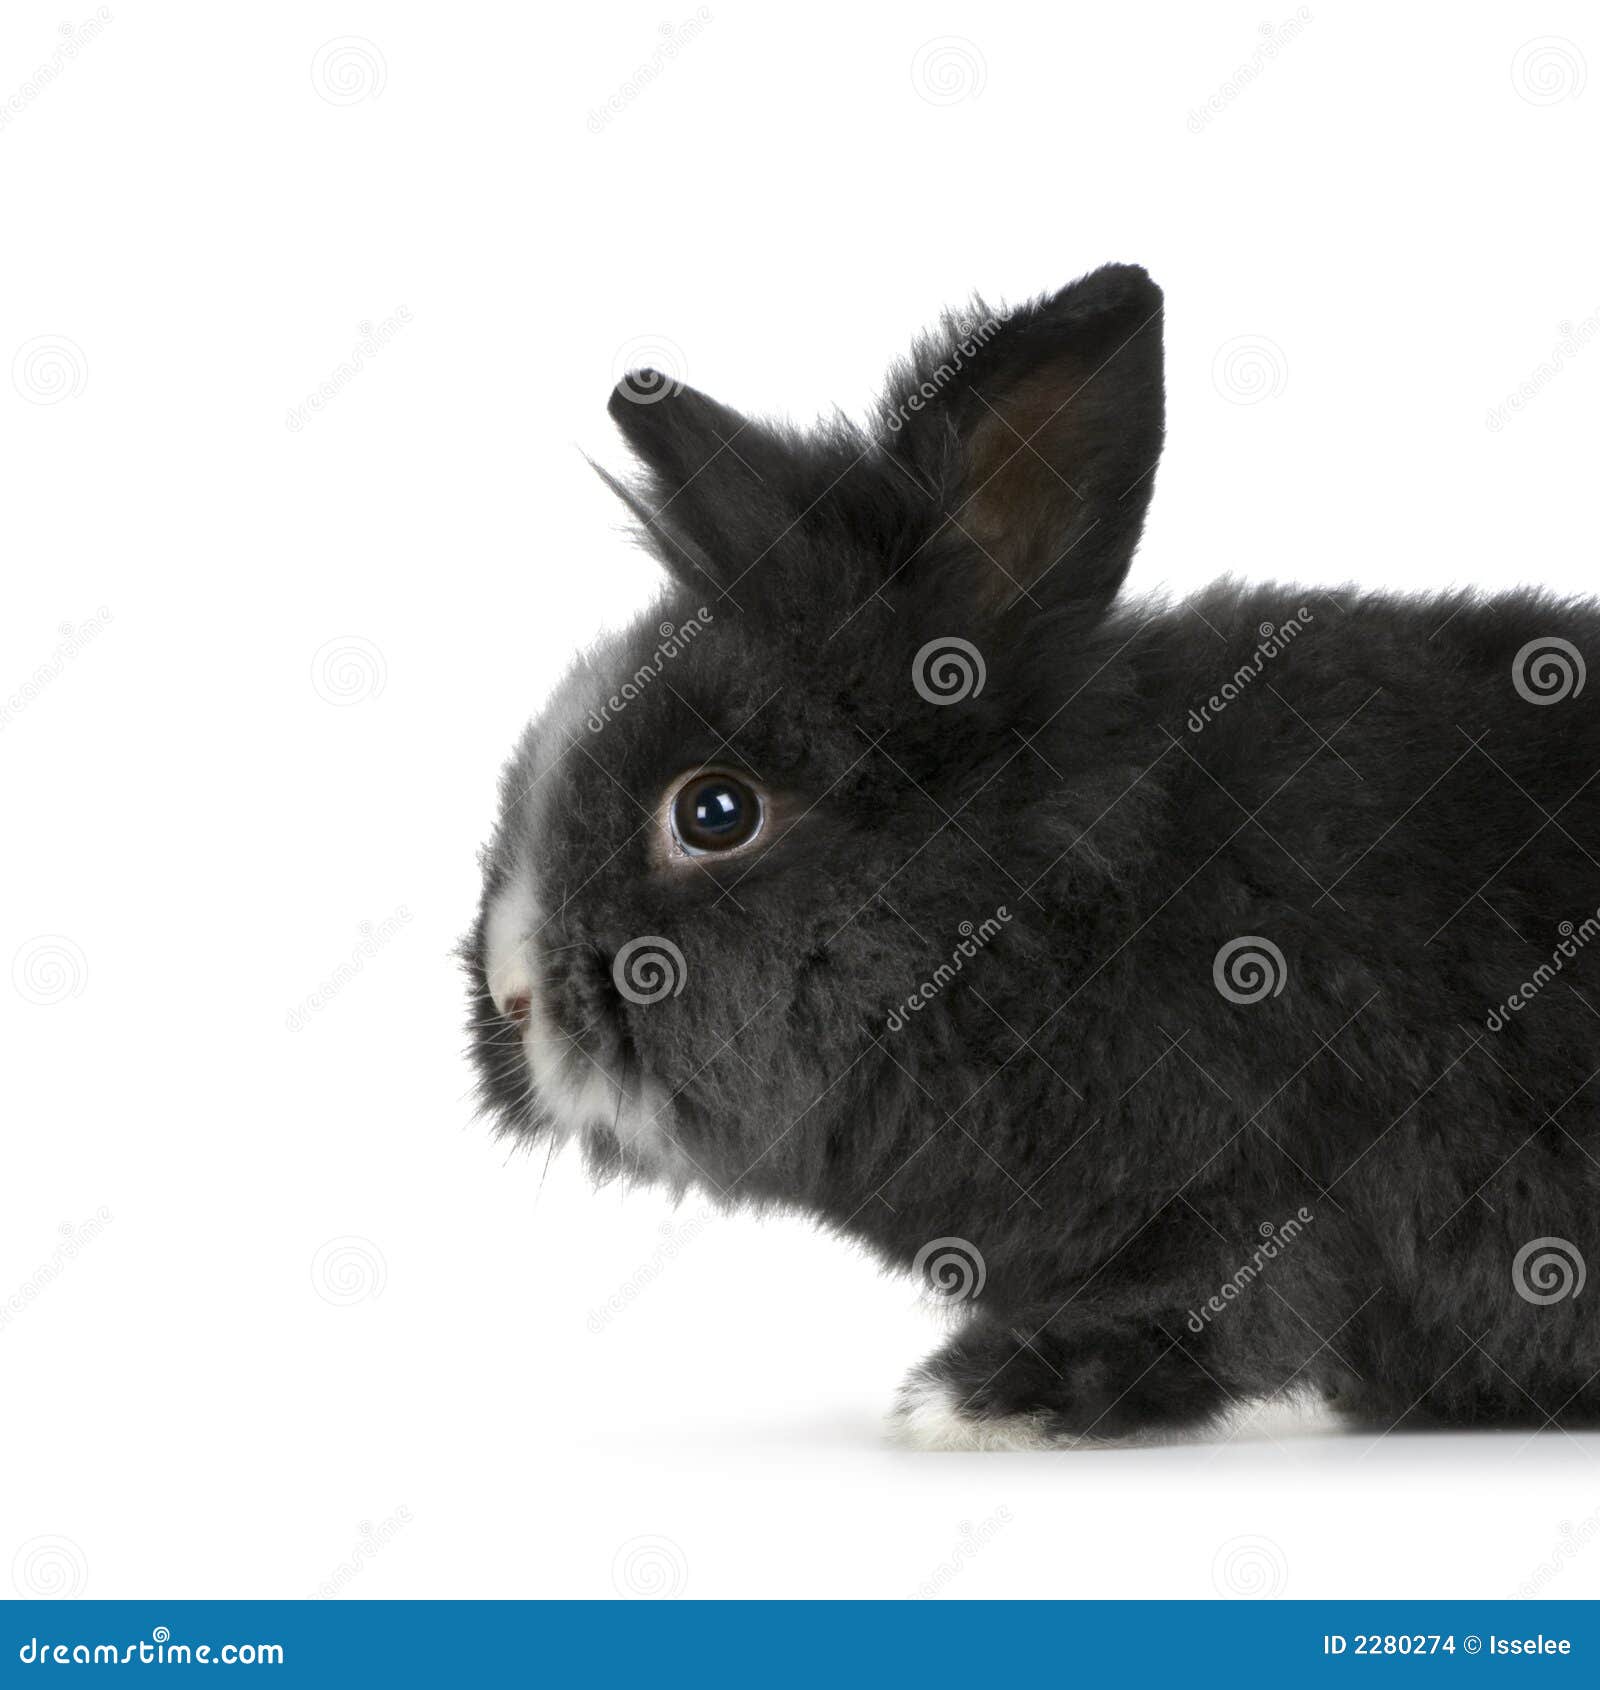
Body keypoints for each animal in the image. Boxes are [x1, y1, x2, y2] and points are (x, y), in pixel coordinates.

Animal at [467, 264, 1599, 1448]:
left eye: (715, 811)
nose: (507, 996)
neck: (1057, 916)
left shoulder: (1253, 1193)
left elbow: (1223, 1310)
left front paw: (977, 1398)